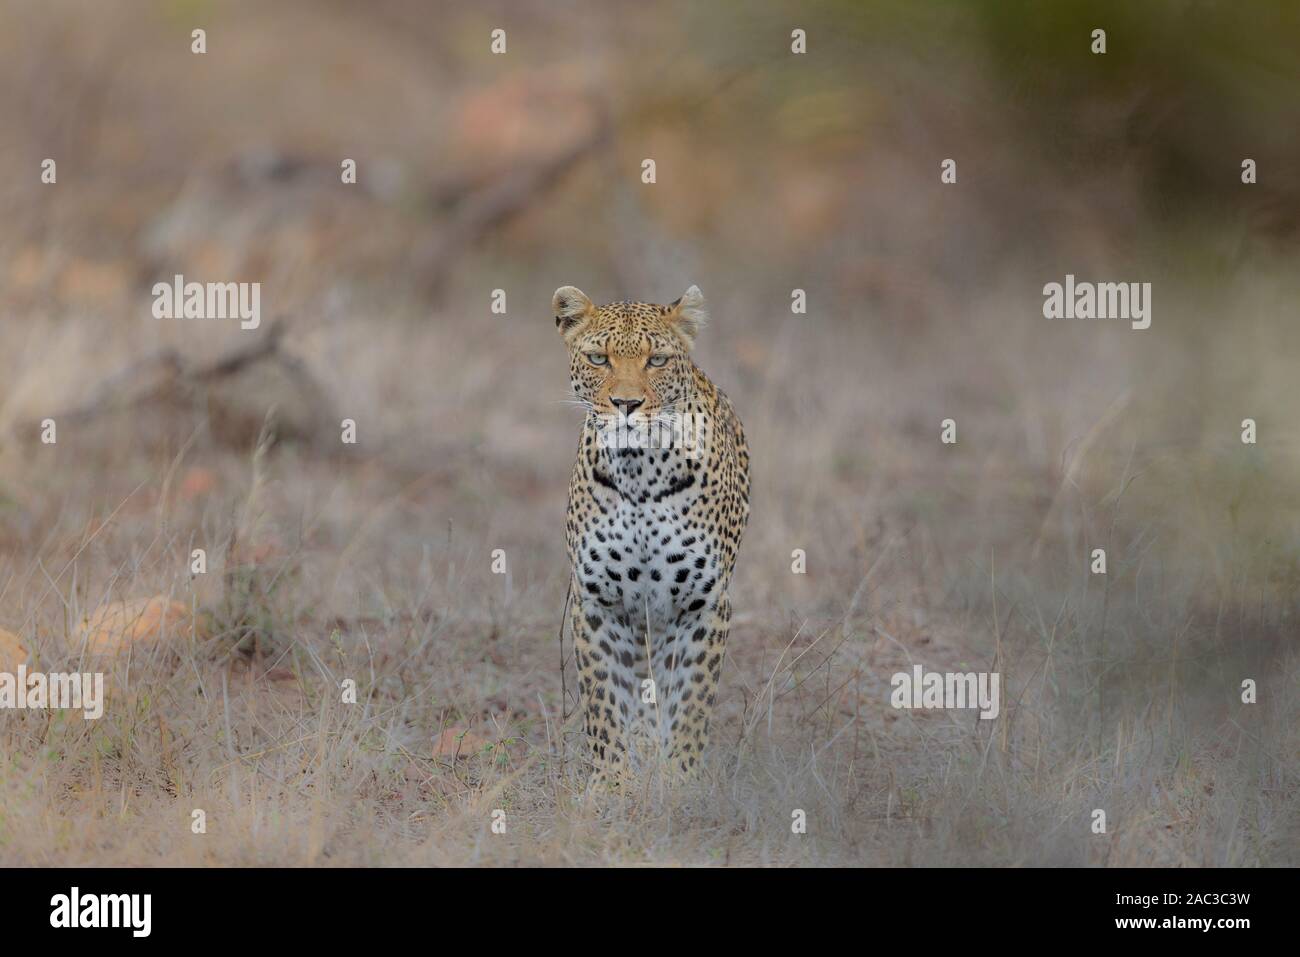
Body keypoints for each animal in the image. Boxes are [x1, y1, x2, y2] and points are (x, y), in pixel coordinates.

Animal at [552, 283, 750, 788]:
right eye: (598, 358)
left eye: (657, 360)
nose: (627, 405)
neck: (640, 470)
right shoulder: (598, 602)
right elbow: (604, 702)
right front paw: (612, 783)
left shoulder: (702, 604)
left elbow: (691, 701)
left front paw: (679, 780)